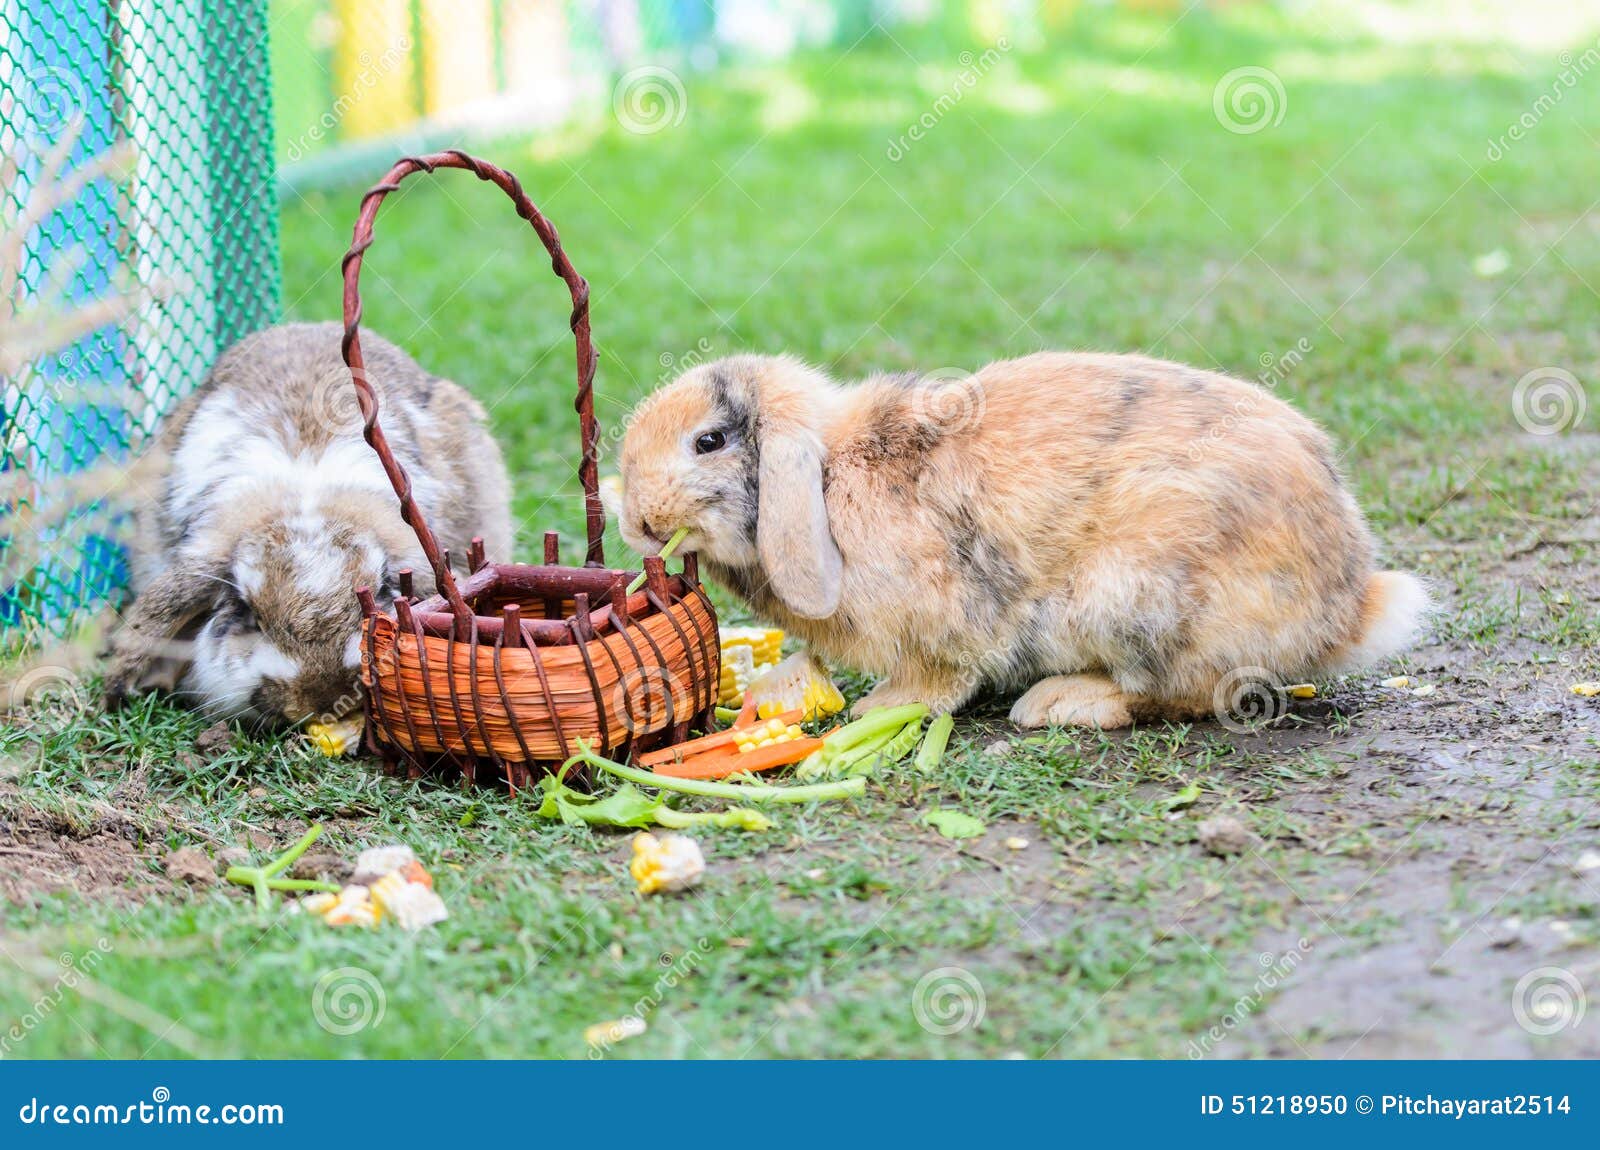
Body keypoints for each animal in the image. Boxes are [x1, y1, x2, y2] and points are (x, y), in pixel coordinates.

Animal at [617, 352, 1430, 729]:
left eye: (709, 440)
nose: (635, 521)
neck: (825, 479)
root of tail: (1349, 609)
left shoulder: (941, 629)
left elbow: (938, 680)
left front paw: (878, 710)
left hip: (1136, 598)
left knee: (1181, 695)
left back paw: (1061, 702)